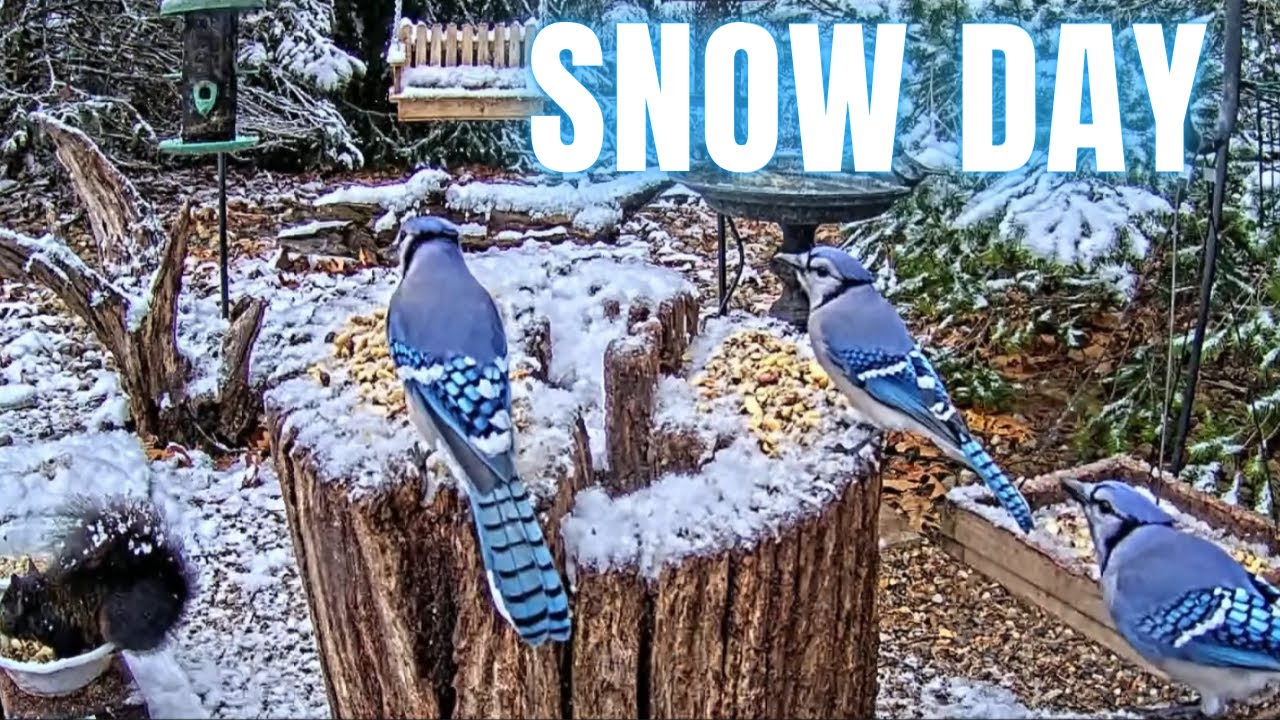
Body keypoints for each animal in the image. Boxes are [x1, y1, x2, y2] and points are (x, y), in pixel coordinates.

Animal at [0, 498, 196, 659]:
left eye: (5, 611)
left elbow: (67, 650)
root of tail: (175, 589)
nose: (2, 628)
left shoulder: (62, 632)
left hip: (117, 620)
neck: (41, 601)